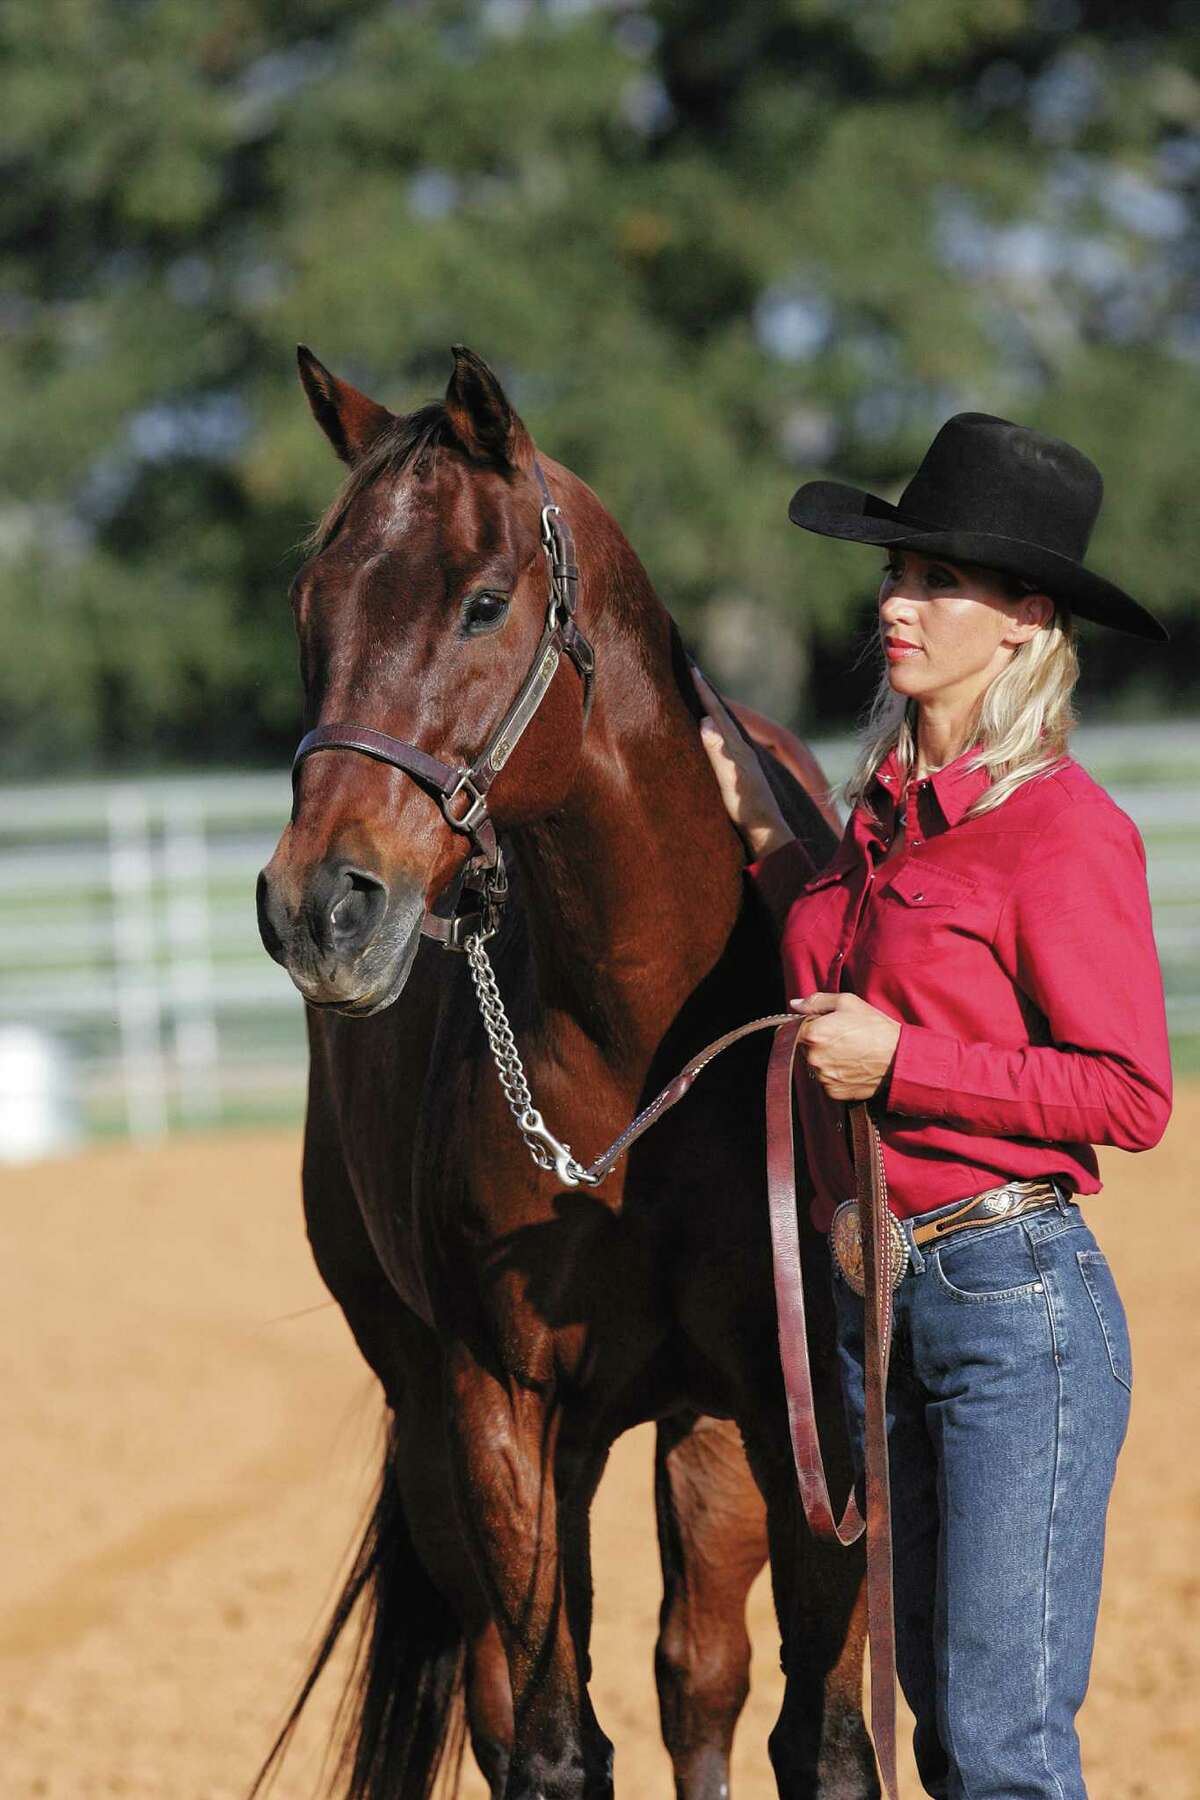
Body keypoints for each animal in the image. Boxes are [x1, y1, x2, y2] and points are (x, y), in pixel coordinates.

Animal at [256, 343, 876, 1799]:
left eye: (484, 604)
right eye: (311, 608)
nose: (318, 908)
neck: (650, 1045)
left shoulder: (802, 1415)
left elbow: (815, 1736)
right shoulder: (505, 1408)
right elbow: (551, 1741)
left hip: (704, 1439)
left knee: (700, 1677)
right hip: (449, 1421)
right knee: (519, 1697)